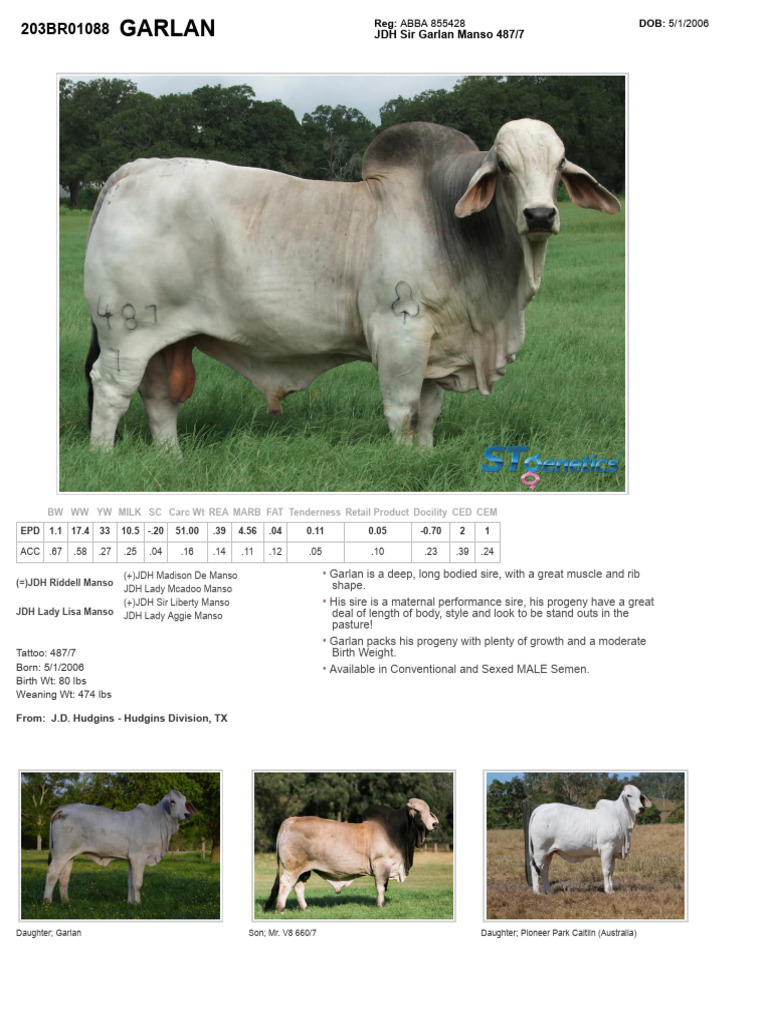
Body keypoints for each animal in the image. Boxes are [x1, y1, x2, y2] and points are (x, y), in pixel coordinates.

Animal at [43, 790, 197, 904]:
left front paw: (130, 902)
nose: (187, 814)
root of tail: (64, 808)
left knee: (63, 876)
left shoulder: (131, 859)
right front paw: (138, 903)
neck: (159, 822)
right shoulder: (138, 857)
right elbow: (138, 883)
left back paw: (66, 901)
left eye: (185, 802)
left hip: (70, 855)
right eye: (173, 801)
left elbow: (130, 882)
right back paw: (47, 902)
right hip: (61, 853)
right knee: (52, 873)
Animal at [83, 118, 620, 451]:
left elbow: (430, 415)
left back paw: (171, 460)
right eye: (505, 166)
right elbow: (404, 413)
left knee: (159, 397)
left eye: (559, 165)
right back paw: (104, 458)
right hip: (126, 330)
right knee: (110, 389)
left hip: (166, 337)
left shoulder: (438, 347)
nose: (540, 215)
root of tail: (134, 169)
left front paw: (424, 457)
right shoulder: (400, 333)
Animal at [264, 797, 439, 912]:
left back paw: (304, 908)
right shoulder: (382, 866)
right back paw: (280, 909)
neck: (397, 831)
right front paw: (380, 905)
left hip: (305, 870)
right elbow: (381, 887)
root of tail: (292, 820)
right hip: (293, 867)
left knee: (299, 886)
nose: (434, 824)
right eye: (418, 811)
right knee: (285, 884)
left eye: (429, 810)